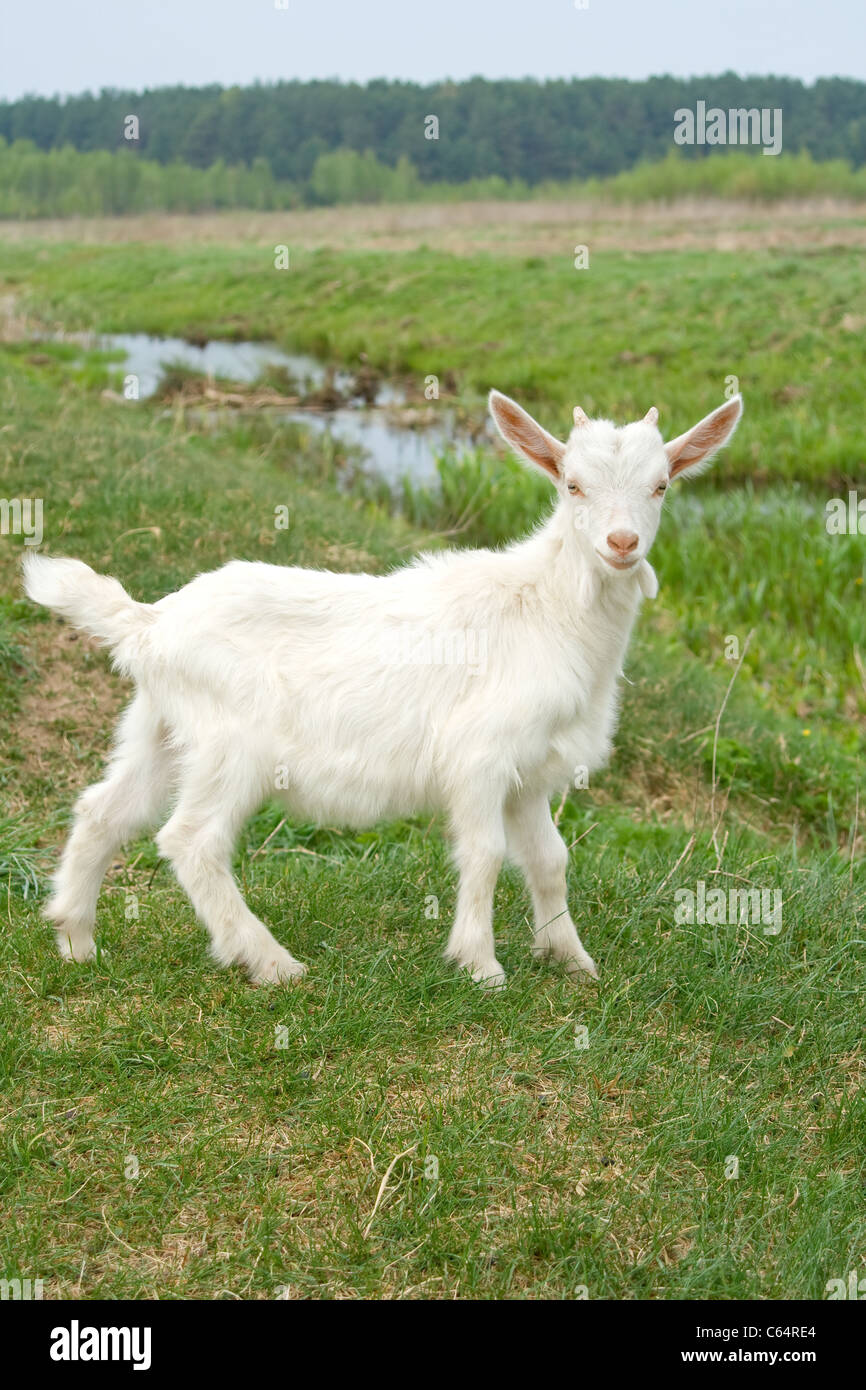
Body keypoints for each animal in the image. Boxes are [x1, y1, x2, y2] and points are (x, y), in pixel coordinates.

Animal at [22, 389, 742, 987]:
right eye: (572, 485)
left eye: (661, 485)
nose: (622, 543)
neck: (548, 607)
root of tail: (148, 623)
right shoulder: (479, 756)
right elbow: (485, 853)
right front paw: (480, 965)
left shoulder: (531, 772)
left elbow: (550, 859)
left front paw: (570, 958)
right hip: (232, 742)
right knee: (191, 840)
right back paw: (269, 960)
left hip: (161, 726)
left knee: (104, 810)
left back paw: (76, 937)